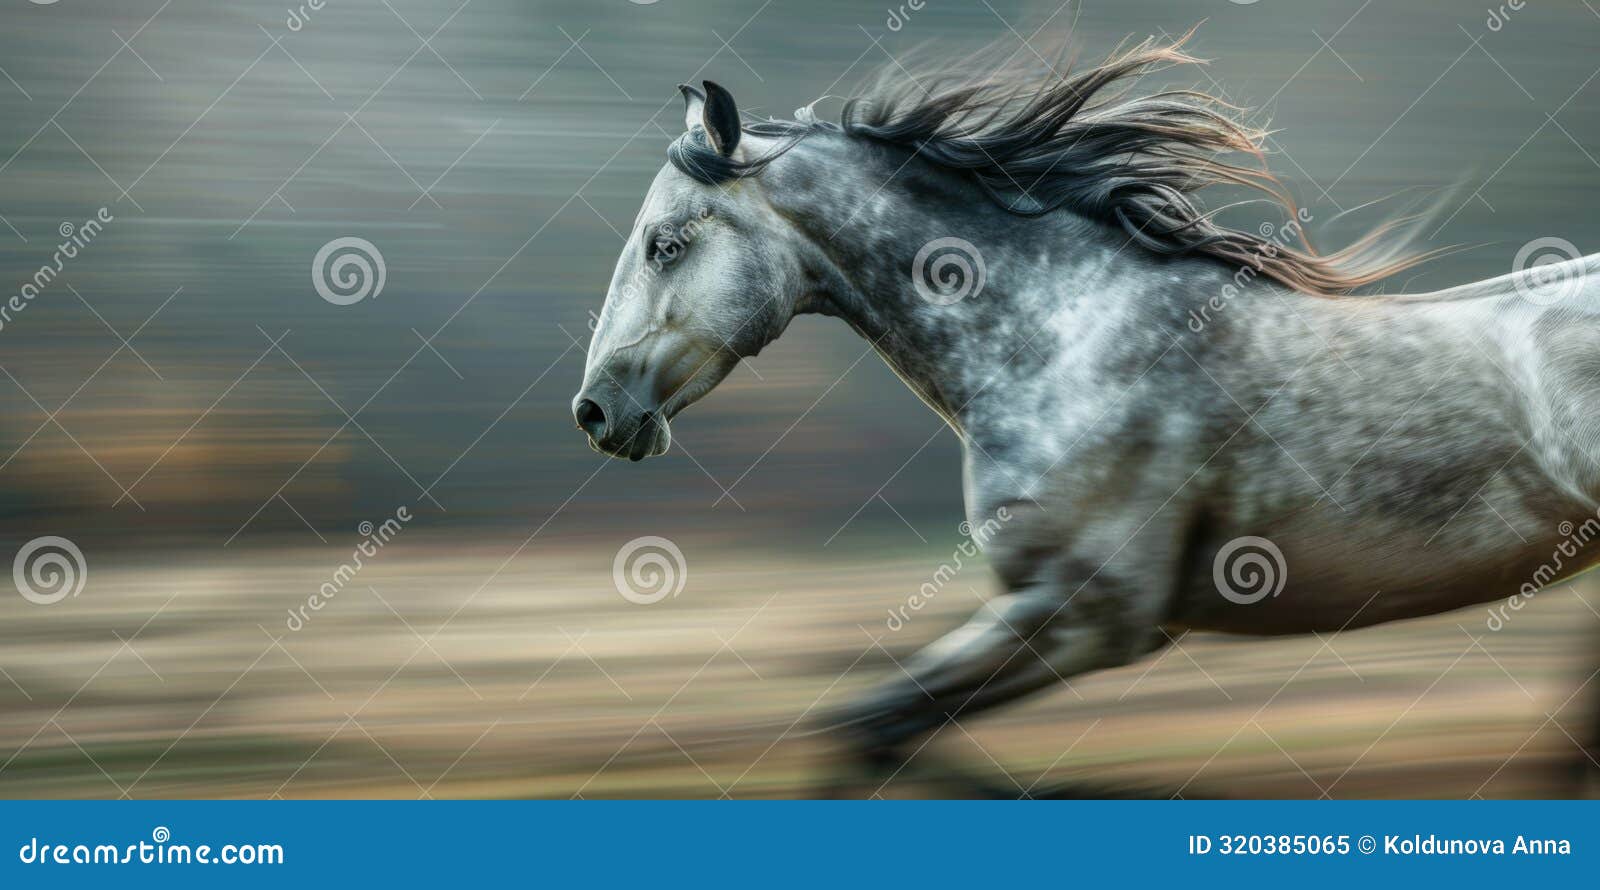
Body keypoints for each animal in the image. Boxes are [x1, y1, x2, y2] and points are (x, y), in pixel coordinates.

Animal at [572, 34, 1600, 795]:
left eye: (666, 243)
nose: (596, 411)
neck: (1062, 337)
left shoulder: (1090, 614)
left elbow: (874, 732)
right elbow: (871, 735)